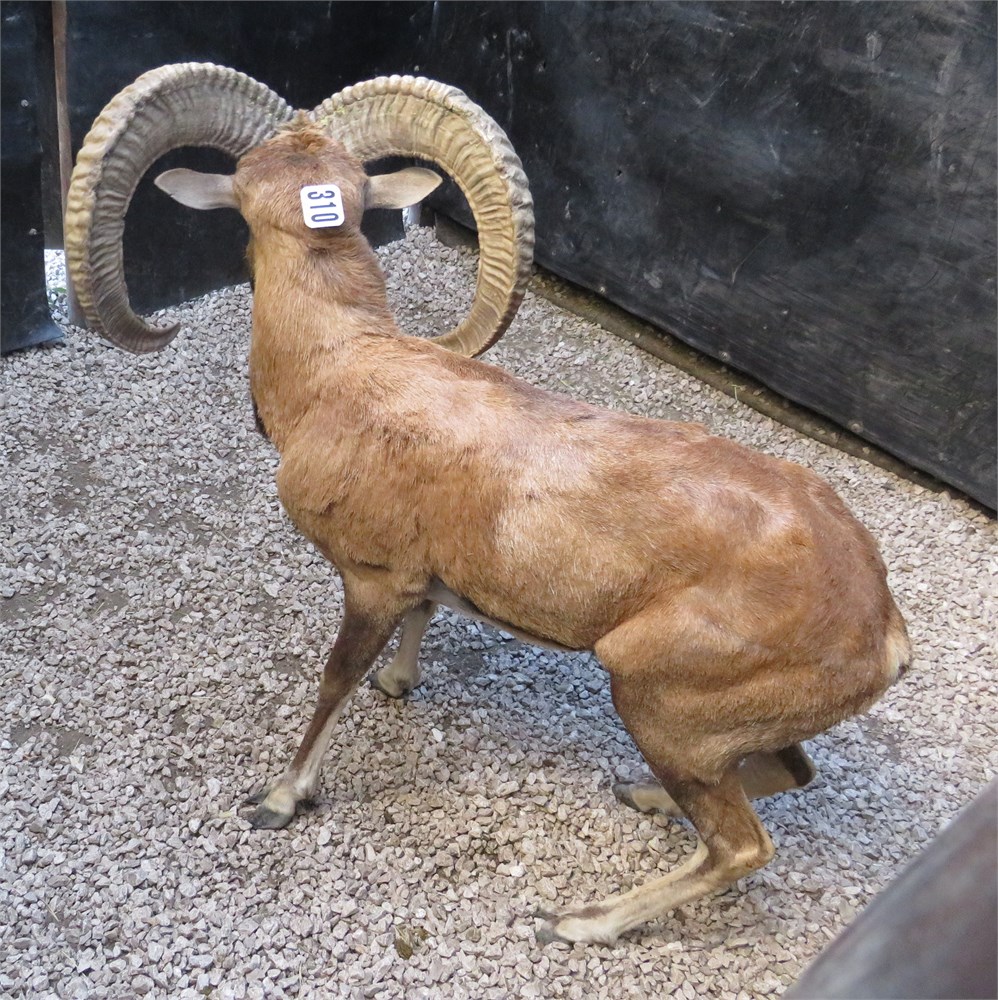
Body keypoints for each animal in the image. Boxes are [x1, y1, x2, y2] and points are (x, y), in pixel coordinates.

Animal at [66, 65, 911, 945]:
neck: (336, 374)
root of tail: (882, 631)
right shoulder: (415, 581)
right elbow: (422, 620)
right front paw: (398, 684)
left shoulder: (369, 581)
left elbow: (333, 683)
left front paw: (280, 799)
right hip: (713, 729)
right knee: (787, 773)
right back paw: (642, 795)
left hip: (653, 697)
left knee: (742, 845)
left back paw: (580, 921)